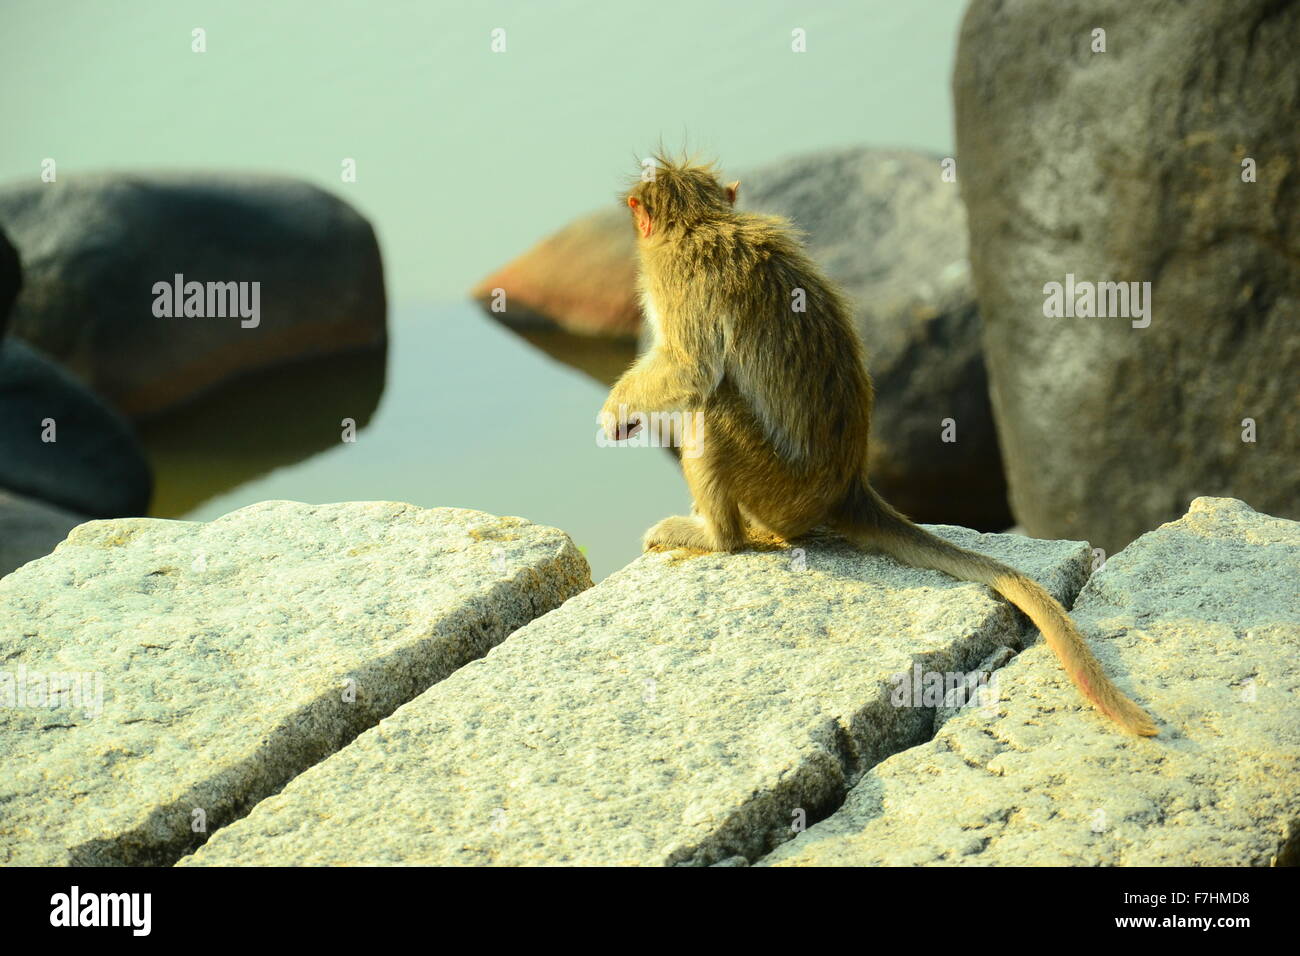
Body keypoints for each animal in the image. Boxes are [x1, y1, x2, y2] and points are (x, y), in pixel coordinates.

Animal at [598, 153, 1157, 737]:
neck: (700, 222)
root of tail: (848, 489)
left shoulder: (678, 278)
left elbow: (690, 369)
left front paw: (615, 410)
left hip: (773, 486)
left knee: (713, 404)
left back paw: (717, 536)